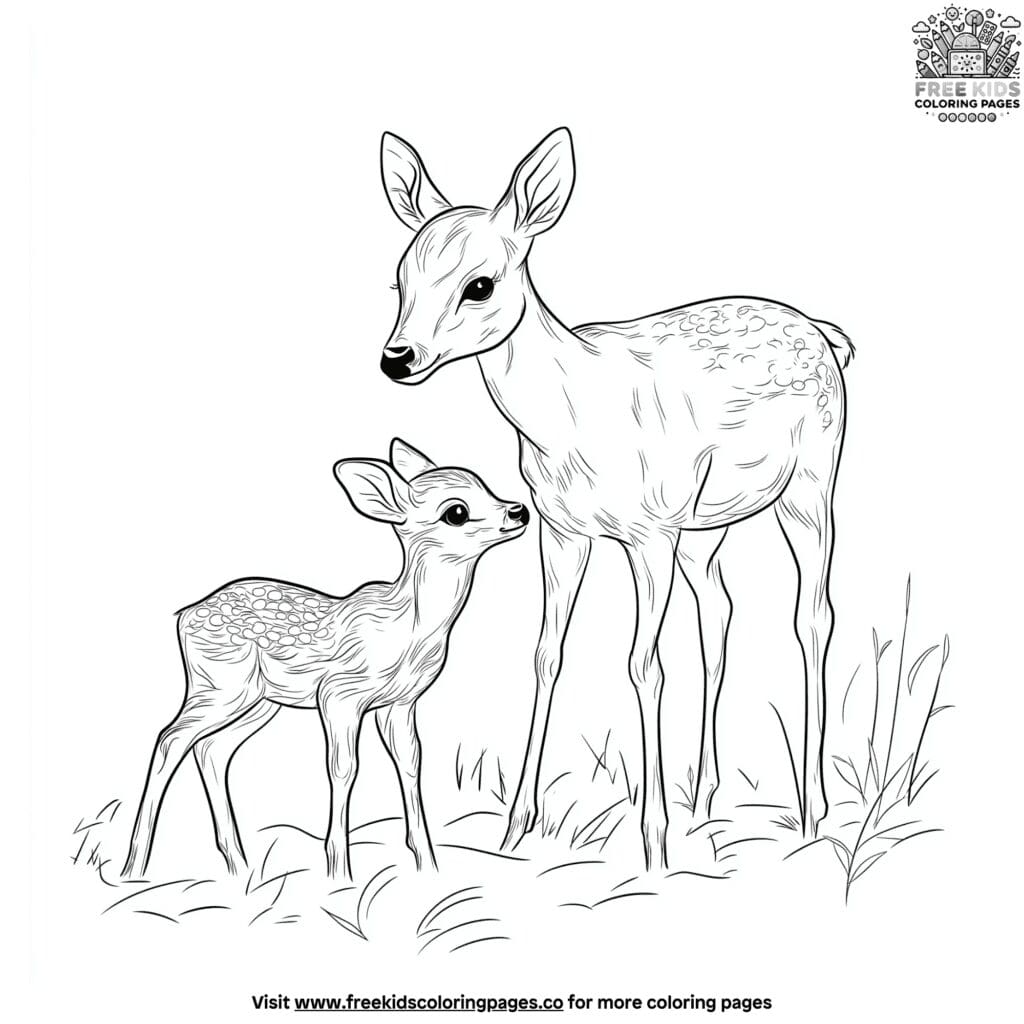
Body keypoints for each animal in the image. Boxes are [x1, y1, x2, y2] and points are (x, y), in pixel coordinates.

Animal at [121, 439, 530, 882]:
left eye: (485, 485)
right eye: (455, 511)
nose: (519, 510)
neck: (409, 629)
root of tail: (184, 615)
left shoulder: (401, 702)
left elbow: (411, 763)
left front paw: (428, 865)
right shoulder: (339, 694)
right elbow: (344, 768)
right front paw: (340, 873)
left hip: (259, 700)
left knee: (211, 749)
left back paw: (241, 866)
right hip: (218, 682)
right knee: (170, 739)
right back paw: (134, 866)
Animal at [378, 128, 854, 870]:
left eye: (479, 285)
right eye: (399, 279)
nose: (396, 358)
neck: (569, 419)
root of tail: (825, 332)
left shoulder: (649, 531)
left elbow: (643, 665)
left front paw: (652, 844)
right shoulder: (560, 529)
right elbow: (547, 651)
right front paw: (515, 830)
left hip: (811, 481)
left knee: (813, 616)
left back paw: (810, 811)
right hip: (707, 525)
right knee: (720, 612)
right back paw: (705, 796)